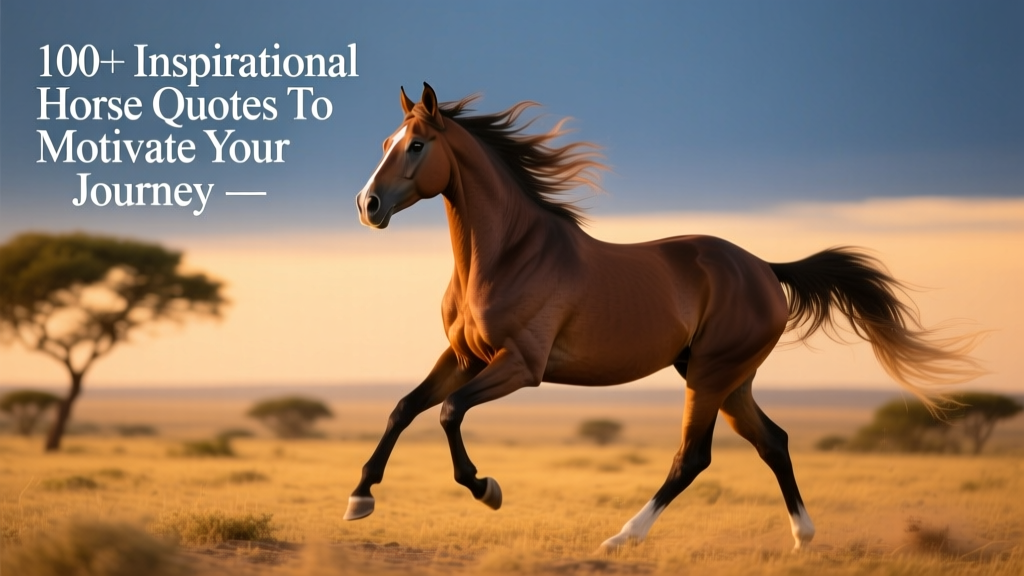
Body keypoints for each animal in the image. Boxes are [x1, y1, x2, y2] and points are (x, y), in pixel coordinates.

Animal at [346, 83, 983, 551]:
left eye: (417, 145)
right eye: (385, 140)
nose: (367, 205)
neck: (507, 255)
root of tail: (764, 267)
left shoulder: (521, 366)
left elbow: (449, 412)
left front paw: (487, 488)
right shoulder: (462, 356)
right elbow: (405, 407)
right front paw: (360, 499)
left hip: (710, 376)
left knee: (692, 457)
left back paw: (621, 539)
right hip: (724, 379)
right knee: (773, 441)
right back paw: (803, 538)